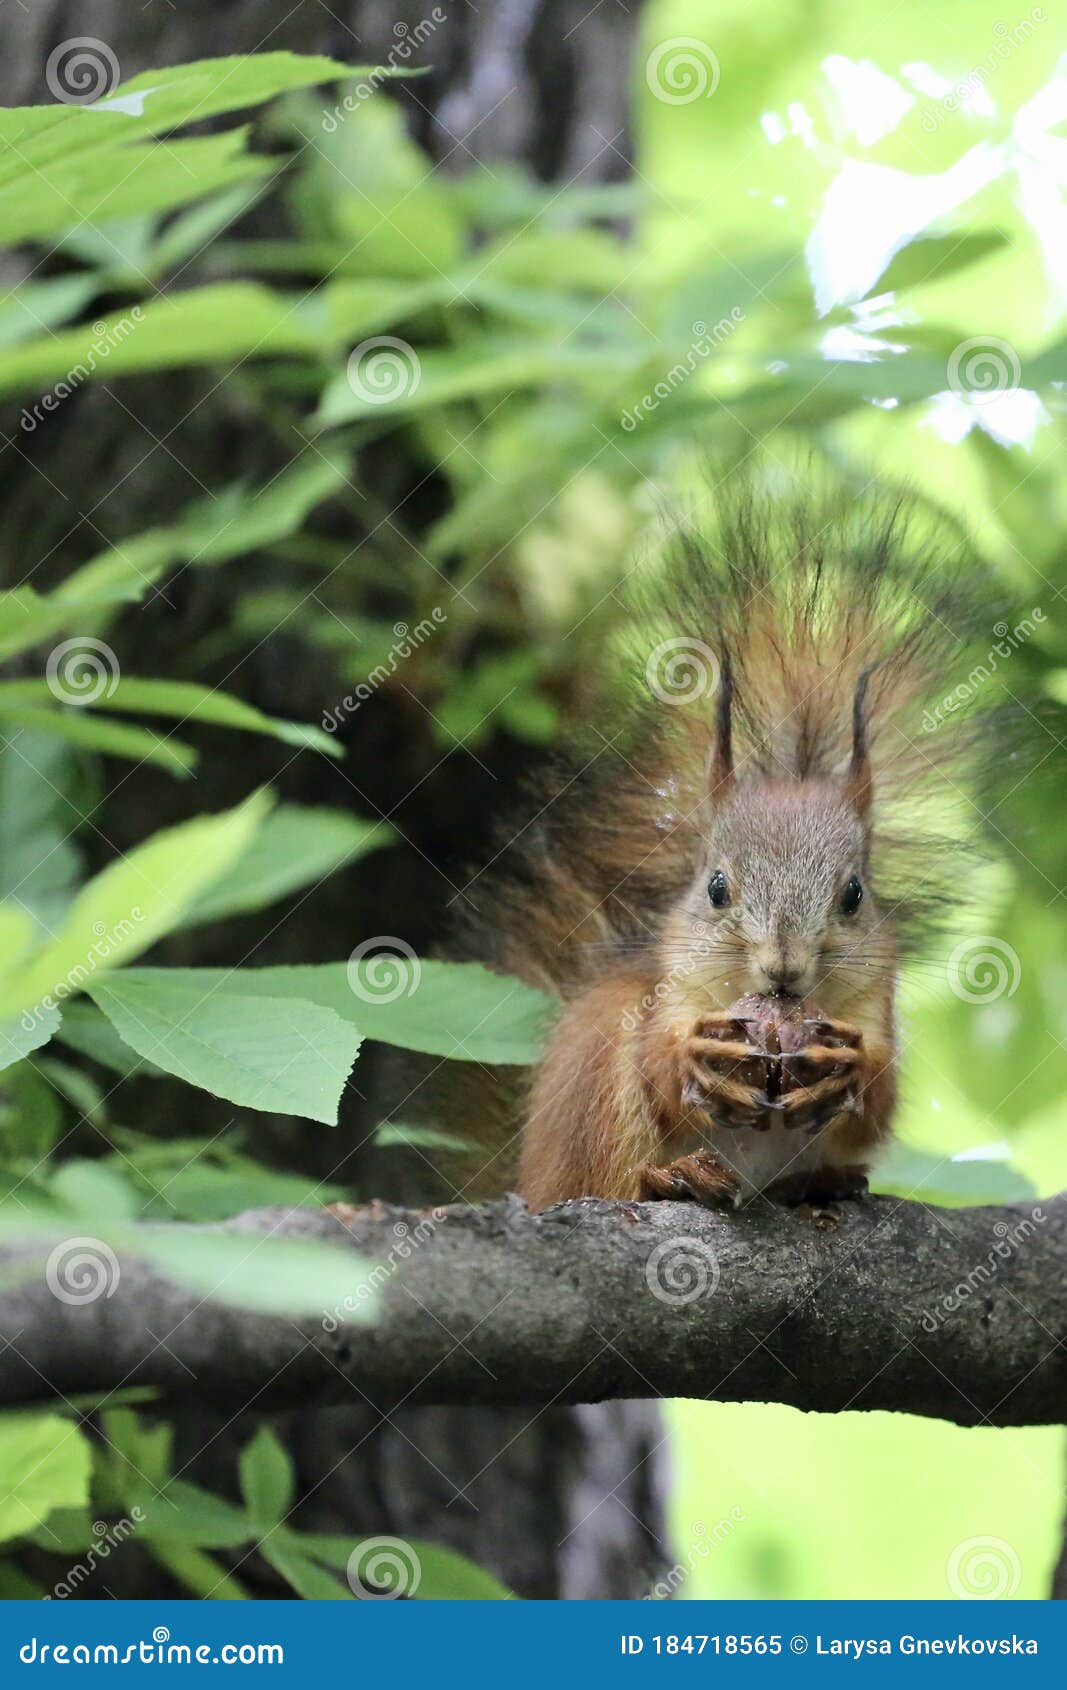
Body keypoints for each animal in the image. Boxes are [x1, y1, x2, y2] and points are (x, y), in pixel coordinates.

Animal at [427, 478, 1013, 1213]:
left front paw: (850, 1069)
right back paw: (669, 1177)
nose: (784, 968)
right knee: (607, 1174)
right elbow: (659, 1071)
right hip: (595, 1089)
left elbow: (875, 1108)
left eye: (853, 895)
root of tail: (533, 1186)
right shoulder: (667, 996)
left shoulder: (876, 1002)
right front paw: (688, 1061)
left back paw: (816, 1182)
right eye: (715, 888)